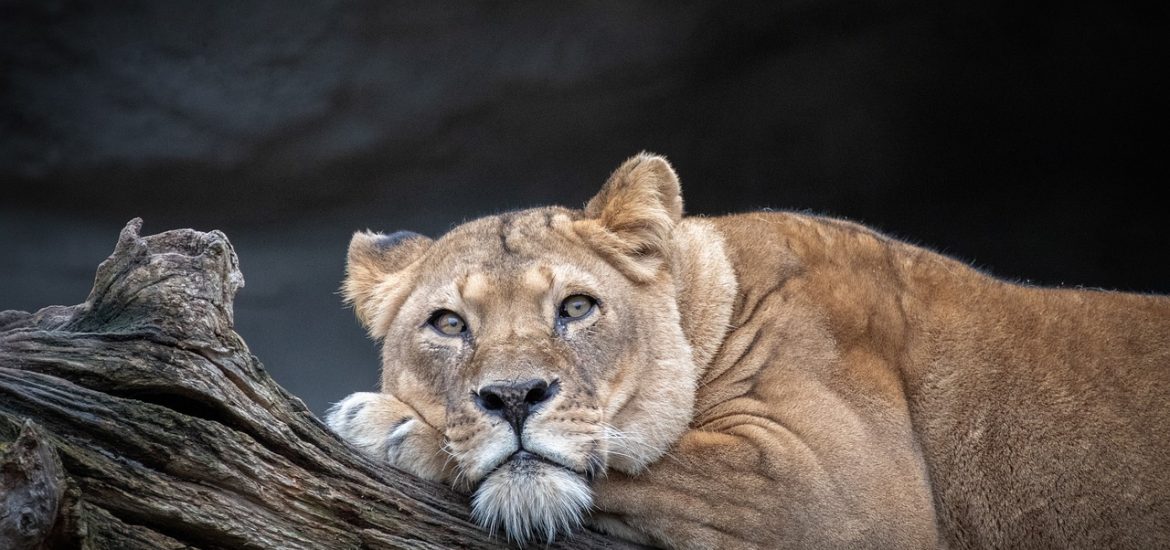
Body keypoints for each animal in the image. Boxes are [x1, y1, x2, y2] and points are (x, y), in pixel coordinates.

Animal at [326, 153, 1170, 548]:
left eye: (576, 308)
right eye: (448, 325)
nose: (511, 399)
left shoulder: (842, 492)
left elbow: (654, 459)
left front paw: (389, 425)